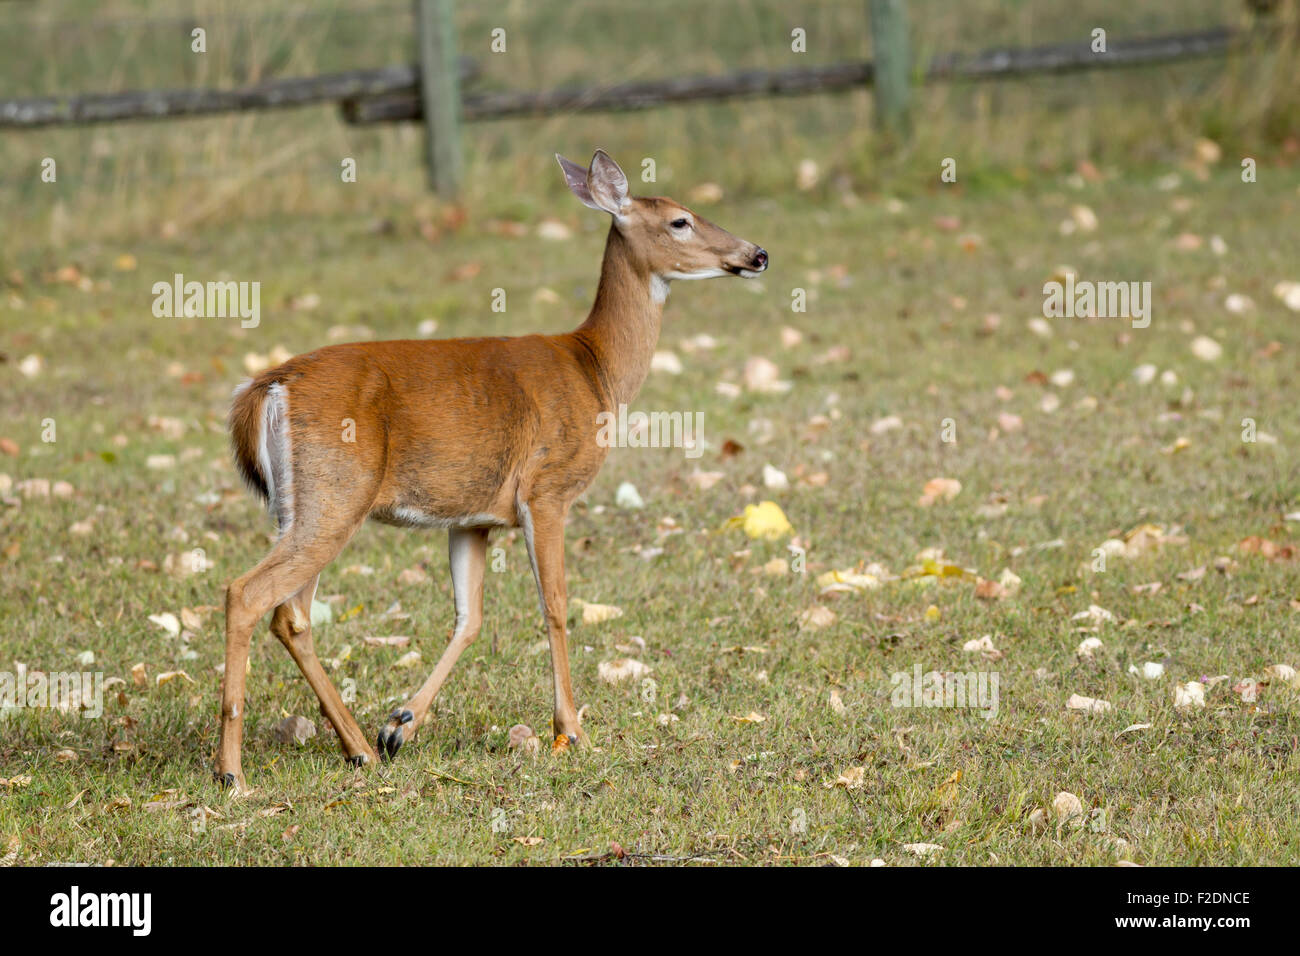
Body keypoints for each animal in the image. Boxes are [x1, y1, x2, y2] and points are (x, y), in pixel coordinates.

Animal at [216, 150, 768, 790]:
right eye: (680, 220)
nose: (757, 254)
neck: (596, 370)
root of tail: (264, 388)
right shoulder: (547, 489)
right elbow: (555, 605)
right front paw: (569, 731)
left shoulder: (472, 518)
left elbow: (469, 617)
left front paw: (399, 725)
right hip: (335, 496)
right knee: (248, 593)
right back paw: (232, 774)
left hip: (304, 505)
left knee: (292, 615)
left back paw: (359, 749)